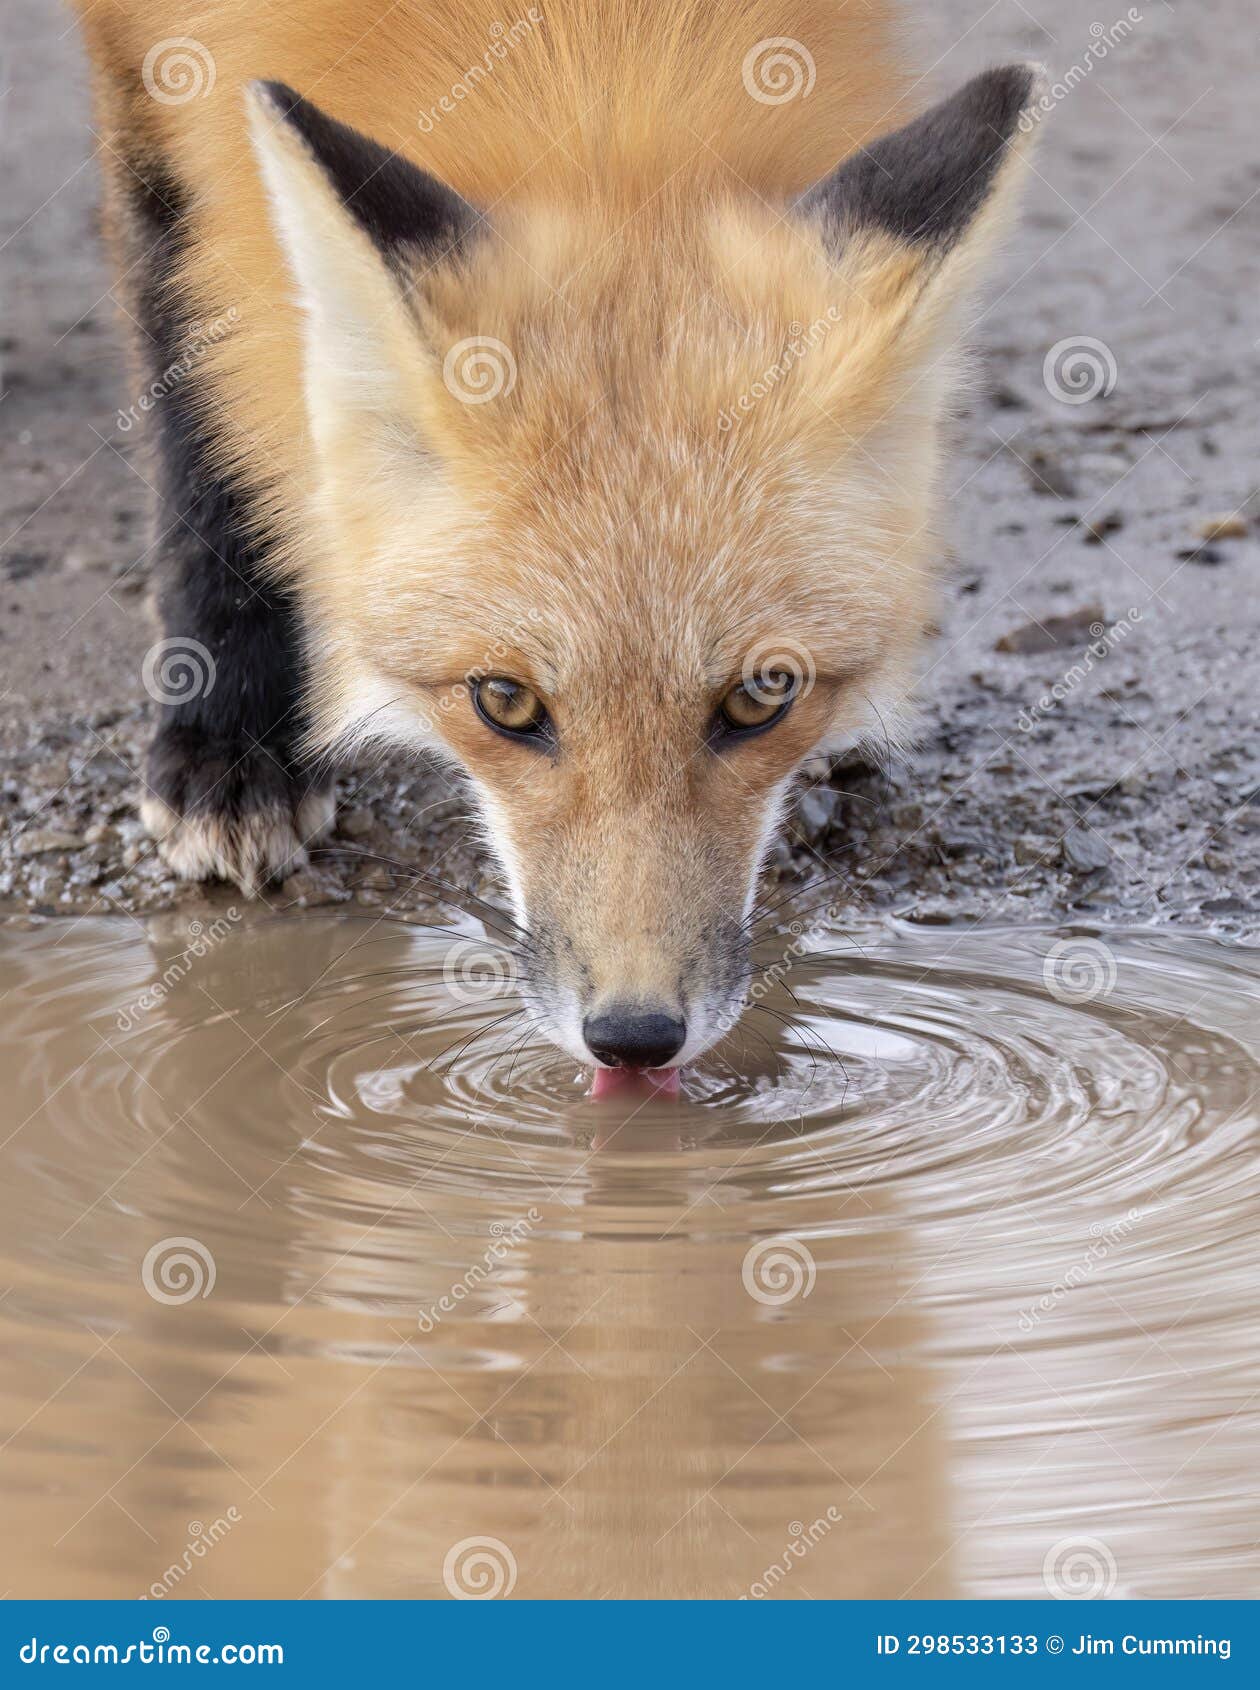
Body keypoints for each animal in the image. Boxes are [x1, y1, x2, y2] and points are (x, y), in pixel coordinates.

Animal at [72, 1, 1042, 1084]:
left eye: (764, 697)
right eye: (504, 703)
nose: (635, 1036)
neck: (595, 35)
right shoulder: (139, 62)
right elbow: (192, 382)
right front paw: (227, 727)